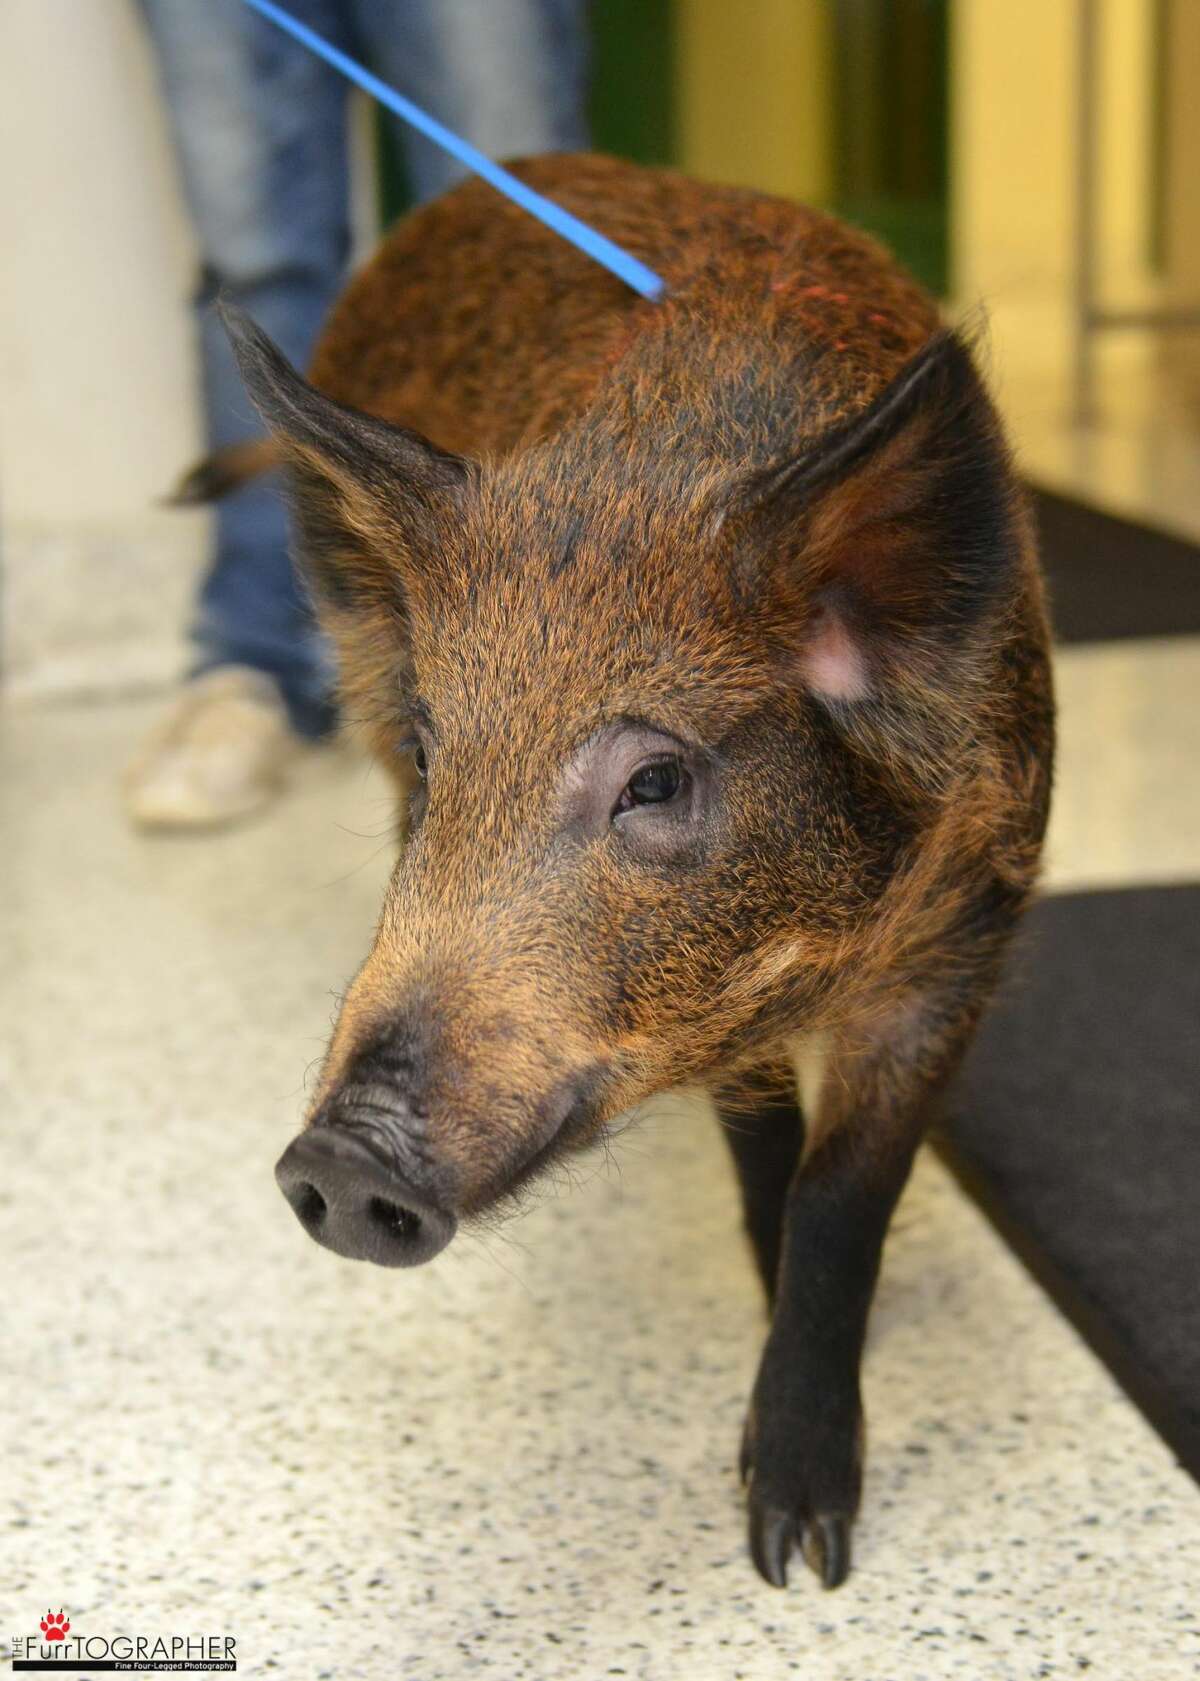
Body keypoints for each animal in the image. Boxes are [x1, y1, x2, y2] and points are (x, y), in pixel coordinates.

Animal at [205, 153, 1054, 1589]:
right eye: (434, 752)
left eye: (655, 782)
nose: (342, 1157)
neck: (821, 951)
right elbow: (766, 1146)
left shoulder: (970, 933)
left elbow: (846, 1189)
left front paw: (799, 1552)